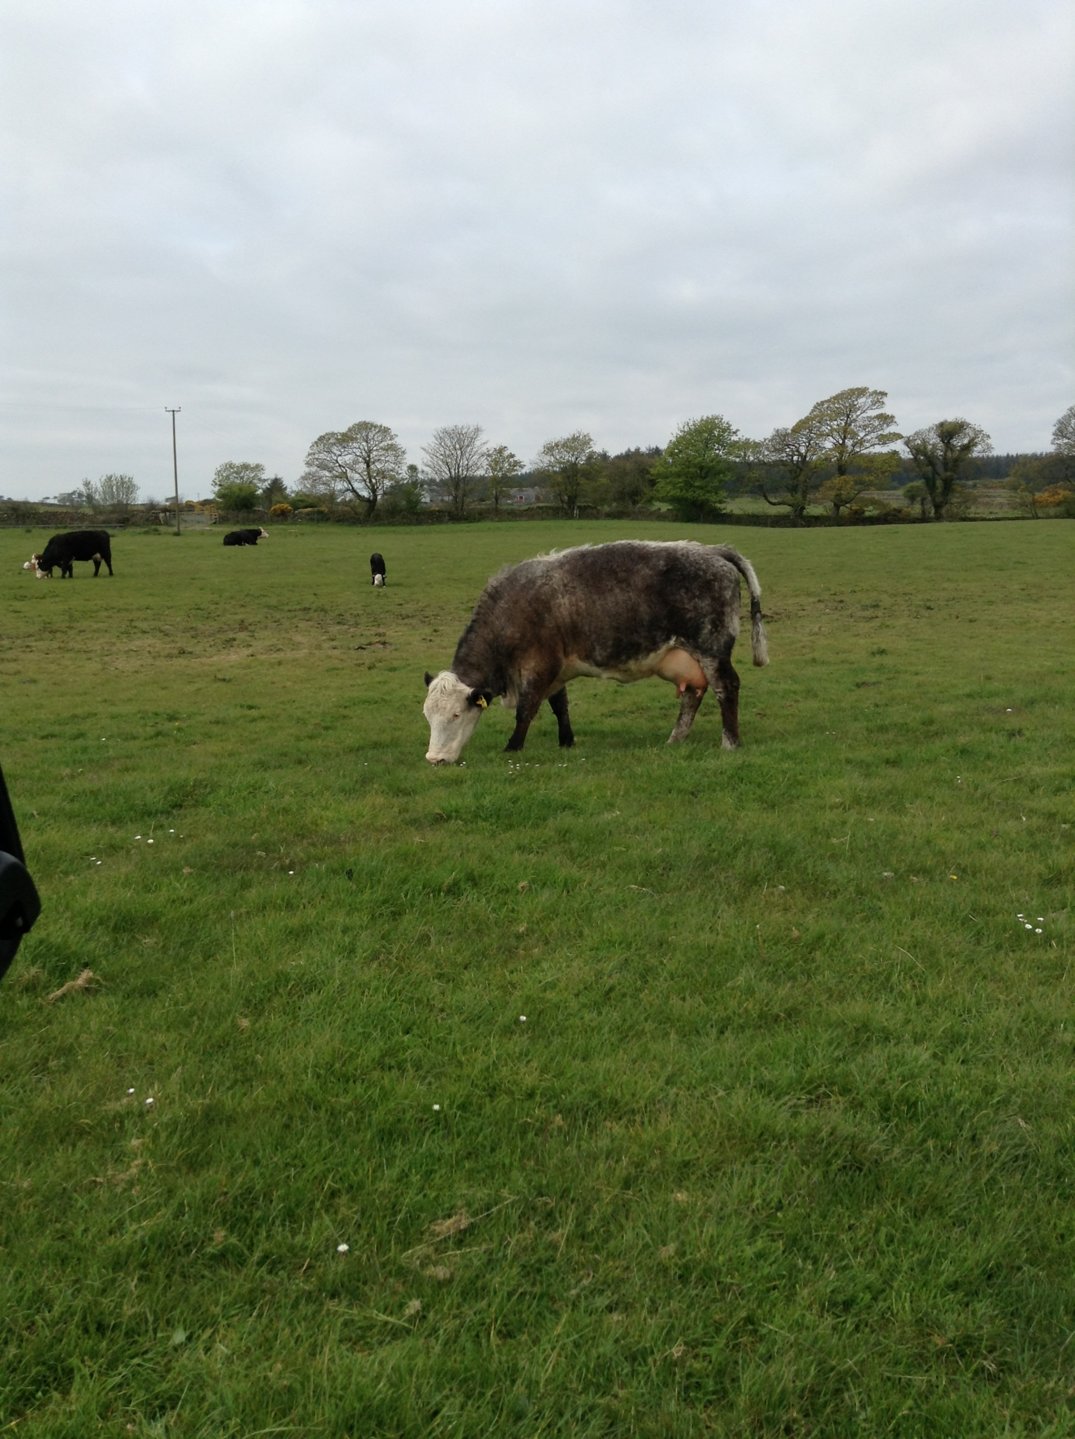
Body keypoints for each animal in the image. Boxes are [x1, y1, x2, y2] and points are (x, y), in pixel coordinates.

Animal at [423, 540, 768, 765]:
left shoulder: (539, 667)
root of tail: (711, 551)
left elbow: (527, 709)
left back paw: (730, 742)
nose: (434, 759)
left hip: (712, 651)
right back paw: (675, 740)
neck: (513, 610)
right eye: (428, 716)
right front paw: (566, 741)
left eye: (456, 714)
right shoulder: (557, 669)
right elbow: (560, 706)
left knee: (726, 687)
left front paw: (513, 747)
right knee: (693, 695)